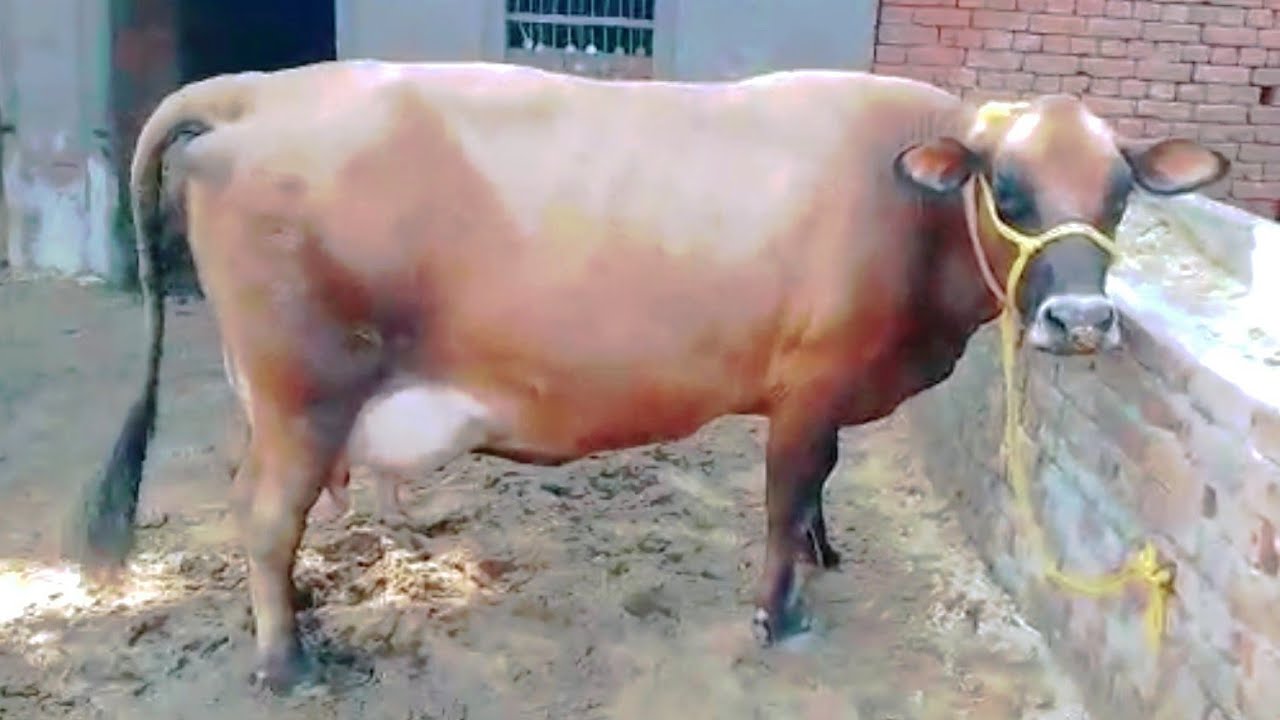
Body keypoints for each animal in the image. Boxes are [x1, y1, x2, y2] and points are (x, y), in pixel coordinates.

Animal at [69, 60, 1229, 694]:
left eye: (1118, 191)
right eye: (1008, 188)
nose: (1082, 319)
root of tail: (262, 91)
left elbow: (821, 484)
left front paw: (825, 557)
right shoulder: (808, 383)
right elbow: (786, 494)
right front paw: (781, 614)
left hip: (275, 400)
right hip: (304, 392)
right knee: (266, 518)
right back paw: (286, 665)